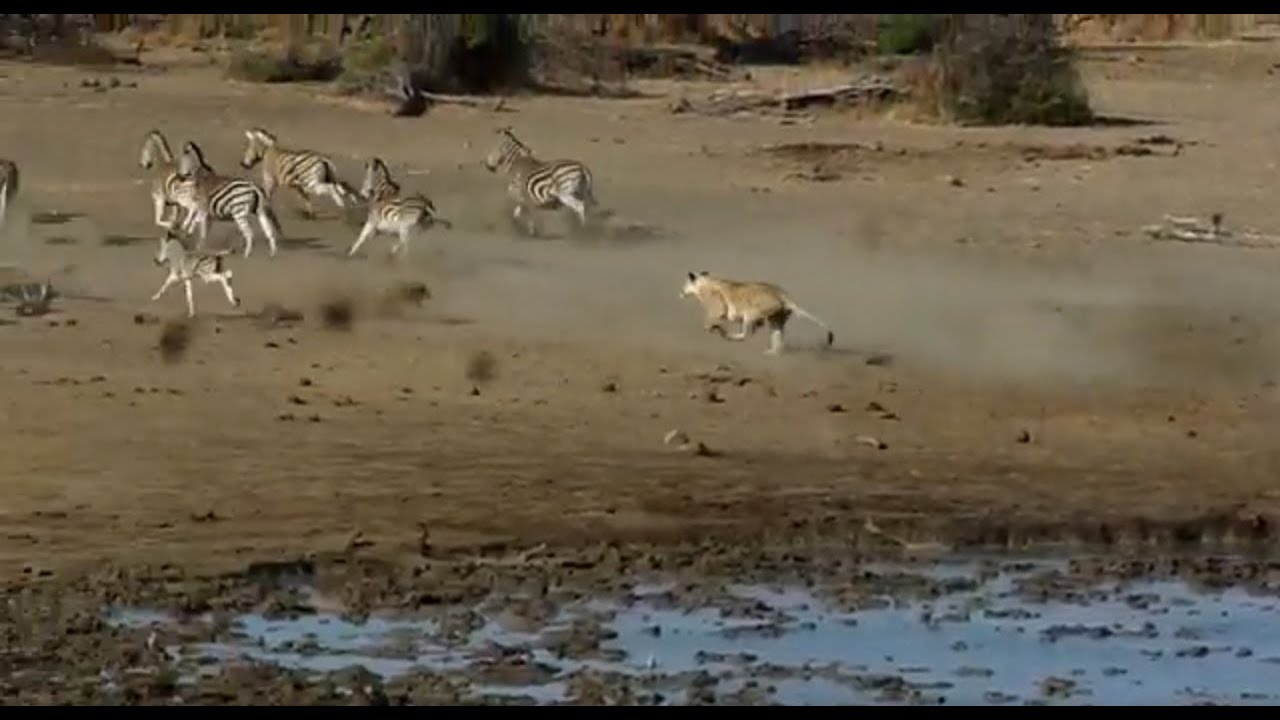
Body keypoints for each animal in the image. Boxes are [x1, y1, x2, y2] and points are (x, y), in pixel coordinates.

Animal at [680, 271, 835, 354]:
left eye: (685, 285)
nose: (680, 293)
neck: (703, 283)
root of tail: (783, 295)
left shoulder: (719, 309)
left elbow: (709, 318)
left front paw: (709, 327)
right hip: (775, 320)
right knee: (778, 340)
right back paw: (771, 352)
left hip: (750, 313)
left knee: (745, 335)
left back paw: (726, 334)